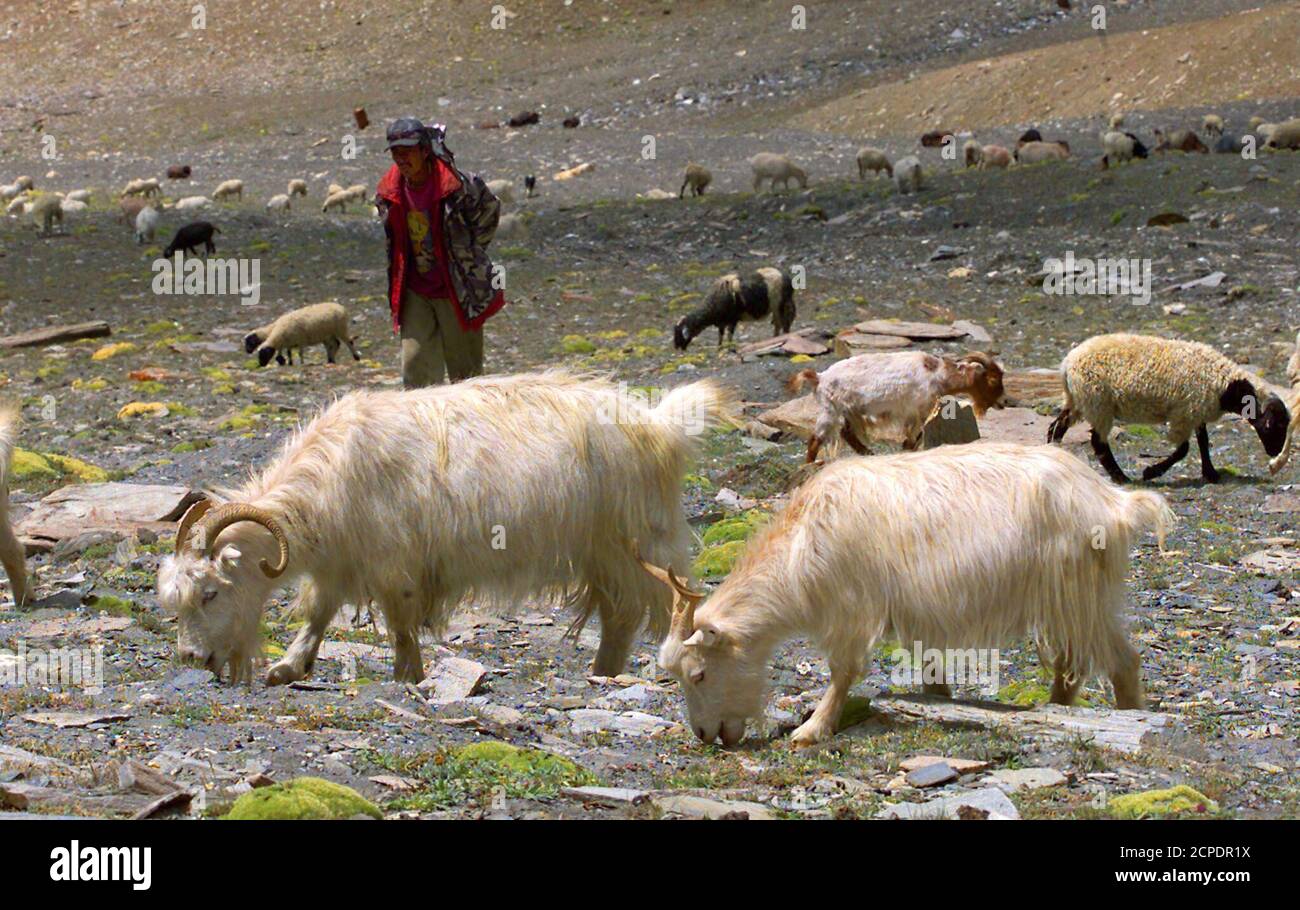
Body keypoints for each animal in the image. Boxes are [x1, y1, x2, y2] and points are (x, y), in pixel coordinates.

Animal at [156, 372, 734, 685]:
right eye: (175, 600)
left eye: (210, 593)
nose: (190, 657)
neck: (333, 475)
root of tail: (661, 423)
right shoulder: (343, 563)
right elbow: (319, 613)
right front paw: (290, 667)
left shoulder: (392, 562)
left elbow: (399, 621)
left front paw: (408, 675)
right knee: (618, 612)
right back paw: (603, 670)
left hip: (635, 539)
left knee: (648, 606)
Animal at [640, 441, 1172, 747]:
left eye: (699, 674)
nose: (705, 735)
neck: (802, 542)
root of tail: (1115, 502)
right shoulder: (923, 619)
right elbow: (932, 675)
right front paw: (938, 704)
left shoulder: (852, 611)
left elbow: (844, 672)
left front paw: (812, 730)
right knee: (1072, 664)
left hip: (1077, 593)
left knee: (1121, 661)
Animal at [789, 350, 1006, 463]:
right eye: (993, 379)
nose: (1003, 402)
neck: (935, 373)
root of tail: (819, 377)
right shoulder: (917, 410)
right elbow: (914, 438)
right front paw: (906, 451)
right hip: (831, 410)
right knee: (815, 439)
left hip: (849, 412)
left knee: (846, 434)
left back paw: (869, 455)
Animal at [1047, 333, 1291, 484]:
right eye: (1275, 425)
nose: (1274, 453)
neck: (1225, 385)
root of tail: (1067, 365)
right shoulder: (1184, 413)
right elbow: (1183, 449)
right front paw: (1151, 472)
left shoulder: (1196, 411)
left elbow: (1203, 442)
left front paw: (1210, 473)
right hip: (1098, 403)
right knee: (1098, 443)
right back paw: (1121, 477)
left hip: (1077, 401)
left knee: (1056, 427)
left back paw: (1054, 455)